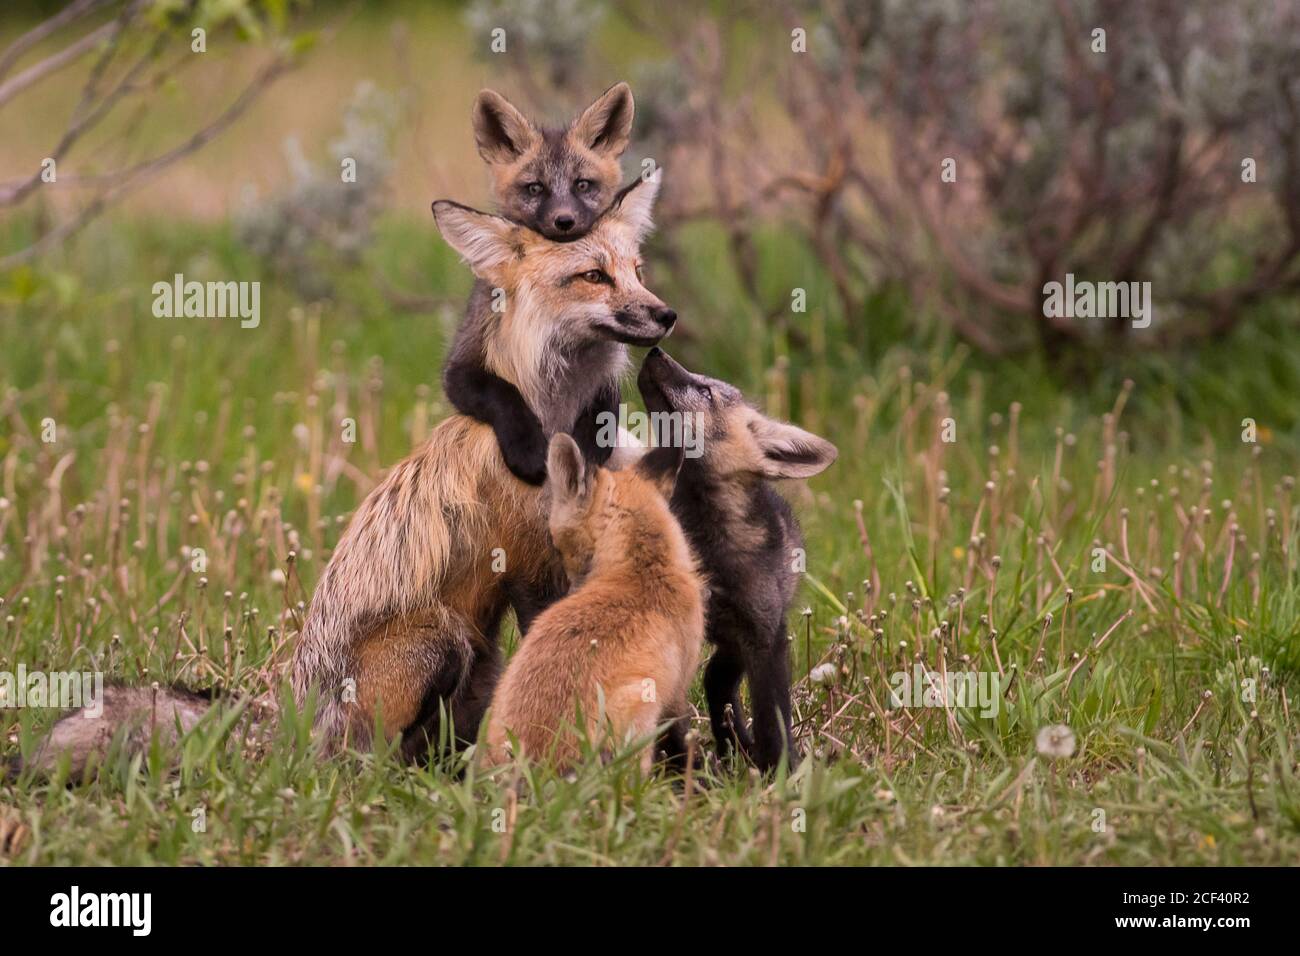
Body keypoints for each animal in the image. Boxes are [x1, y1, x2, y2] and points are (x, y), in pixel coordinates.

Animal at [444, 83, 636, 485]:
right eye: (535, 189)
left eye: (582, 185)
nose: (564, 221)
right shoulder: (461, 365)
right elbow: (502, 394)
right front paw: (528, 451)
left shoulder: (606, 365)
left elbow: (604, 409)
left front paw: (587, 452)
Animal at [484, 434, 705, 771]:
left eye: (557, 545)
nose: (571, 592)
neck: (643, 566)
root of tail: (535, 767)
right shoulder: (679, 687)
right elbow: (683, 740)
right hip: (640, 712)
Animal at [636, 348, 837, 772]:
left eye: (706, 392)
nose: (655, 350)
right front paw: (681, 773)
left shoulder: (765, 634)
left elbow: (773, 715)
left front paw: (782, 771)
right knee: (716, 683)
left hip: (738, 639)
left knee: (717, 682)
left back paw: (737, 746)